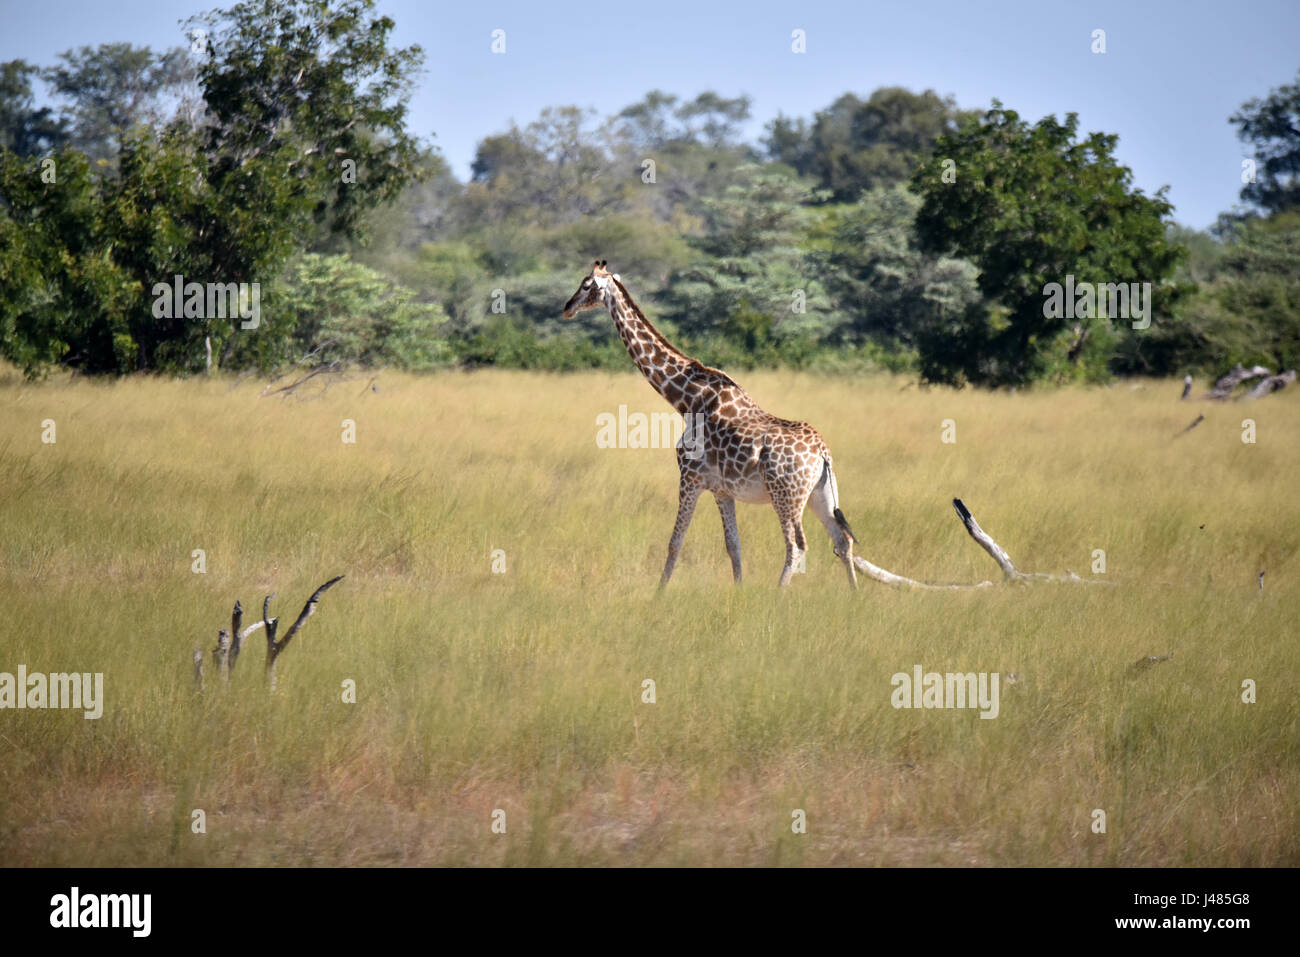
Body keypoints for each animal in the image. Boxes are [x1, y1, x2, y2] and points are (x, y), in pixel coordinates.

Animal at [563, 260, 859, 589]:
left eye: (586, 285)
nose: (567, 307)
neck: (686, 399)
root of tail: (822, 452)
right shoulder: (722, 490)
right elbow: (733, 546)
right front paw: (739, 592)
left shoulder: (690, 478)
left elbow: (675, 542)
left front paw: (658, 594)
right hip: (820, 495)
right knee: (843, 540)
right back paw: (854, 596)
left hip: (786, 496)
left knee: (797, 545)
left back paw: (778, 594)